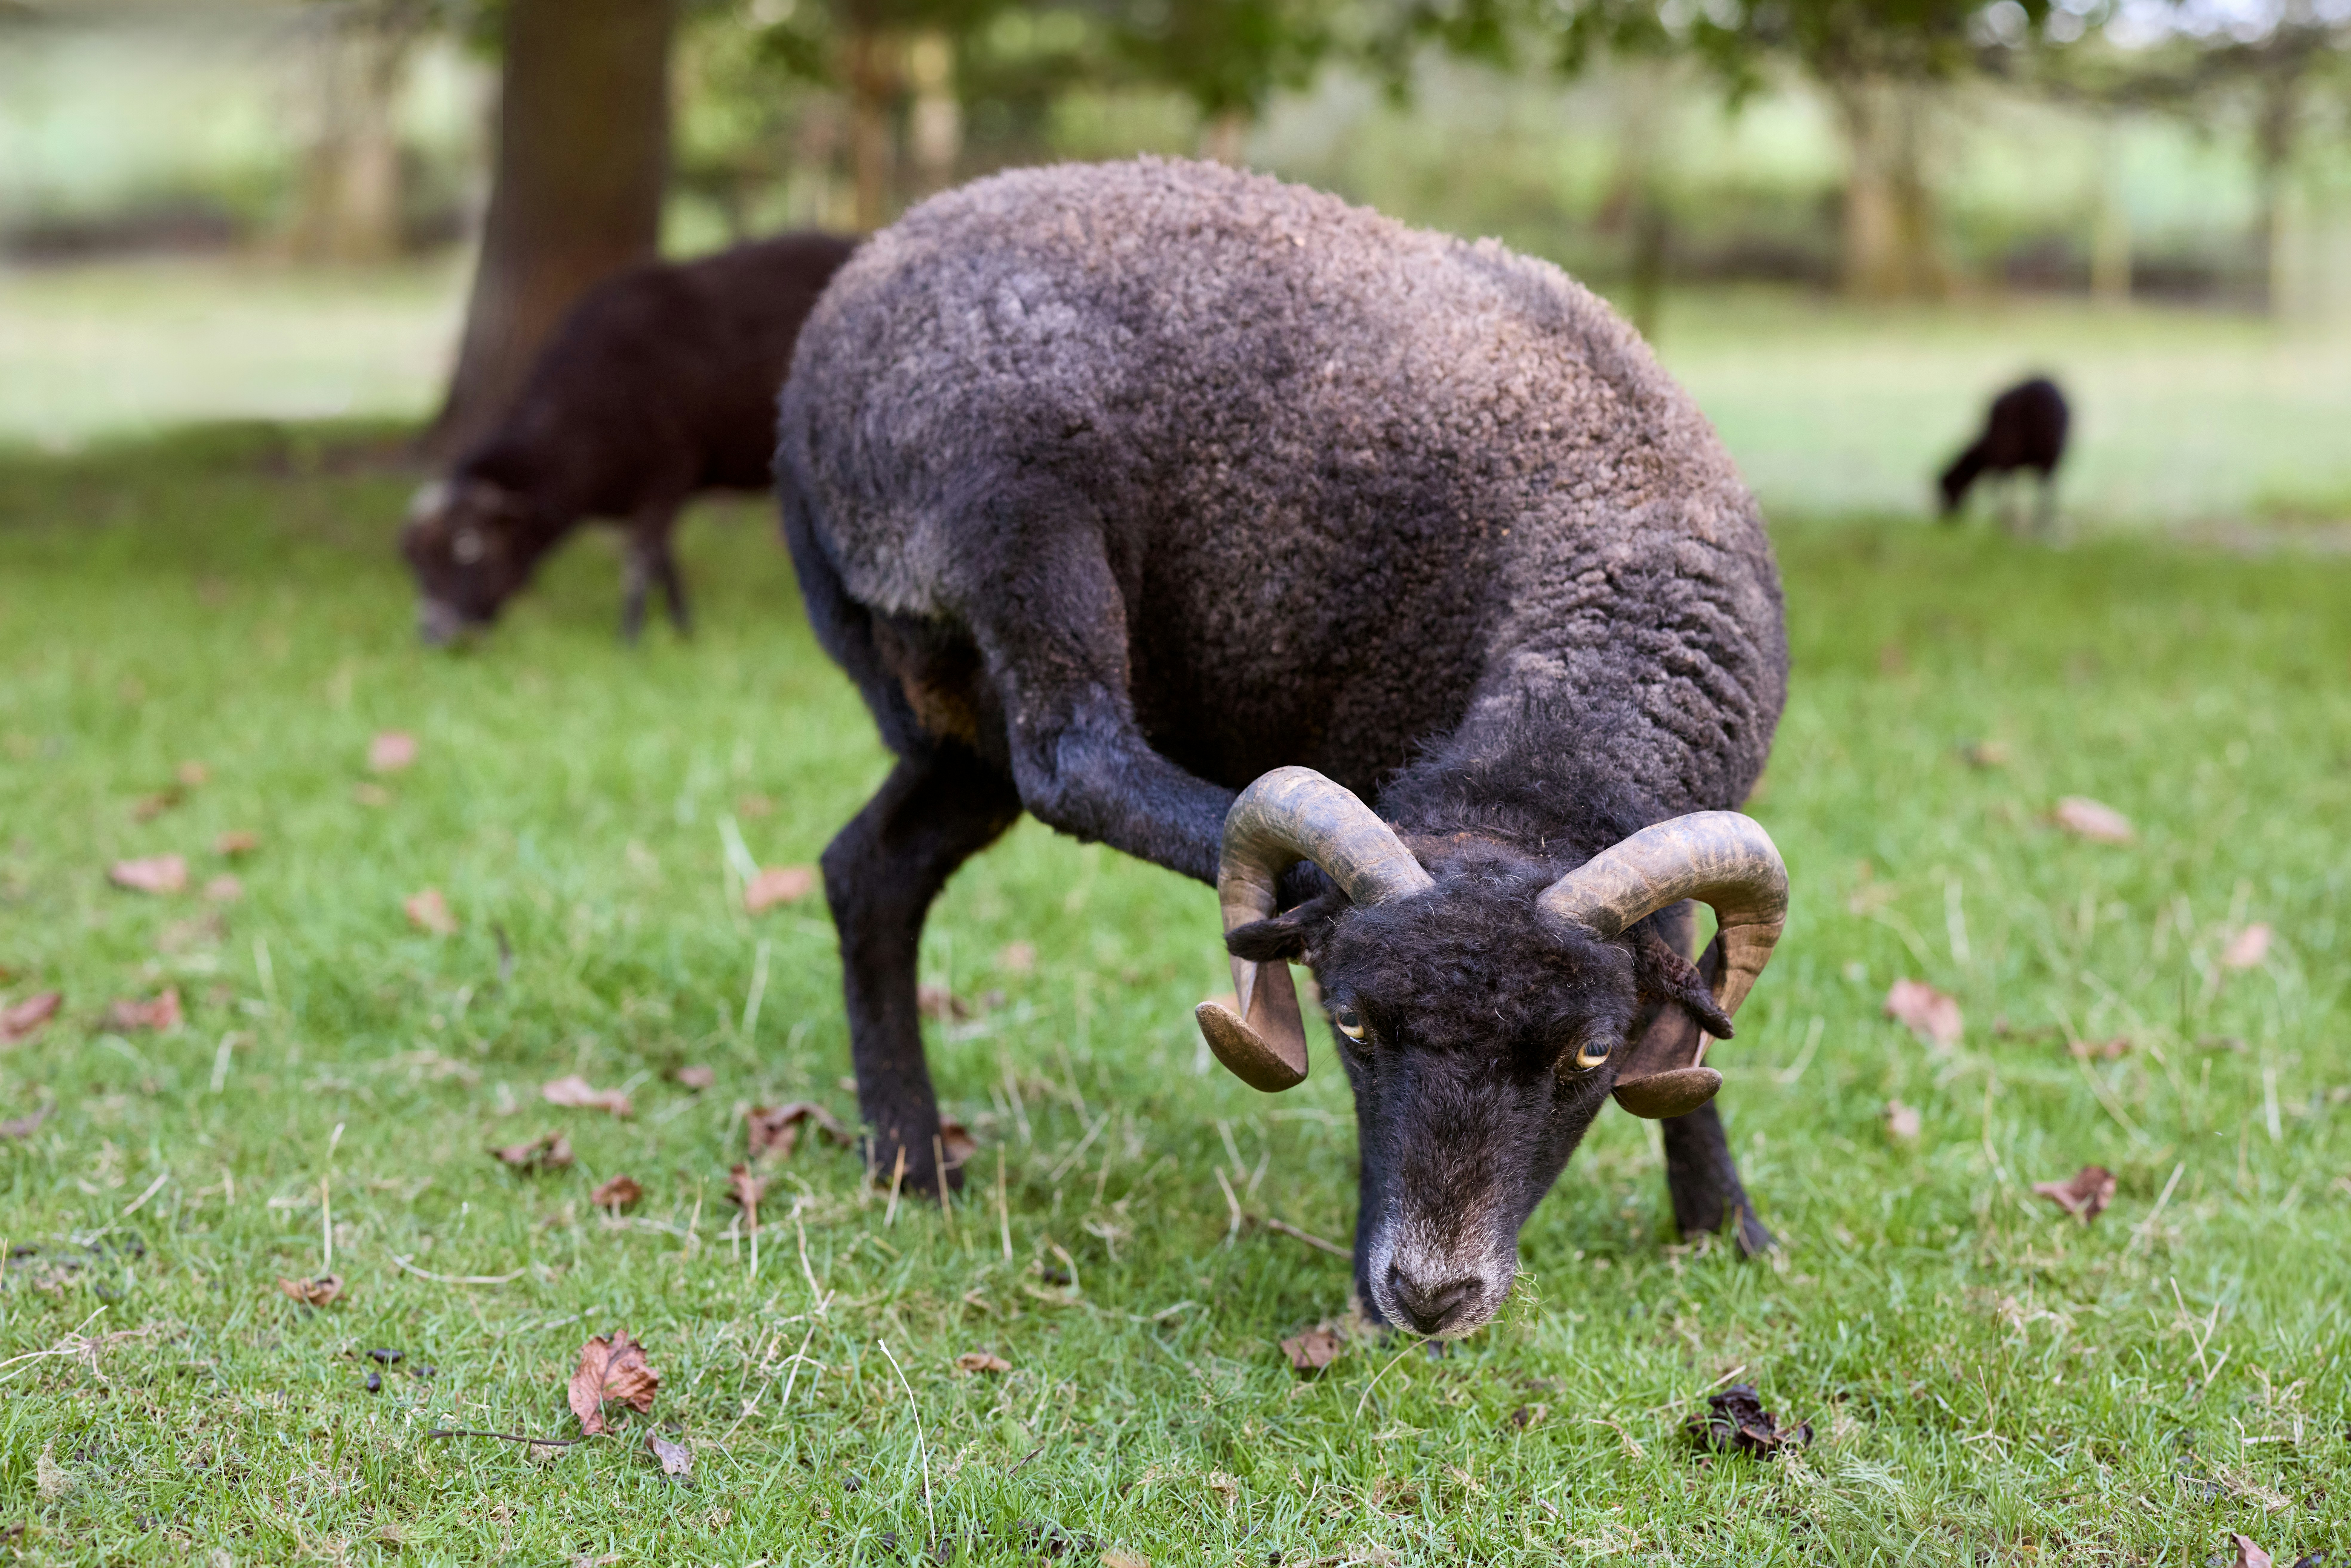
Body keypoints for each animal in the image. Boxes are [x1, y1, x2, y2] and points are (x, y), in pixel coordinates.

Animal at [403, 231, 856, 643]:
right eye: (416, 564)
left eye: (468, 548)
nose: (434, 634)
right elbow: (663, 559)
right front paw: (681, 629)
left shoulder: (669, 472)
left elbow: (640, 563)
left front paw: (631, 640)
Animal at [775, 159, 1791, 1338]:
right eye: (1348, 1027)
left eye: (1588, 1049)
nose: (1428, 1297)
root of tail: (827, 339)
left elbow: (1685, 999)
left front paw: (1723, 1225)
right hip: (1018, 505)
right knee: (1073, 756)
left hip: (956, 712)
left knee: (871, 870)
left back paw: (906, 1160)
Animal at [1938, 375, 2070, 535]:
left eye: (1948, 487)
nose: (1946, 517)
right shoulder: (2010, 465)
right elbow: (2007, 488)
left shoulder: (2004, 460)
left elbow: (1999, 489)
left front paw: (2003, 521)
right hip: (2053, 454)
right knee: (2050, 488)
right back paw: (2044, 525)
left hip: (2041, 451)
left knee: (2046, 488)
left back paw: (2040, 525)